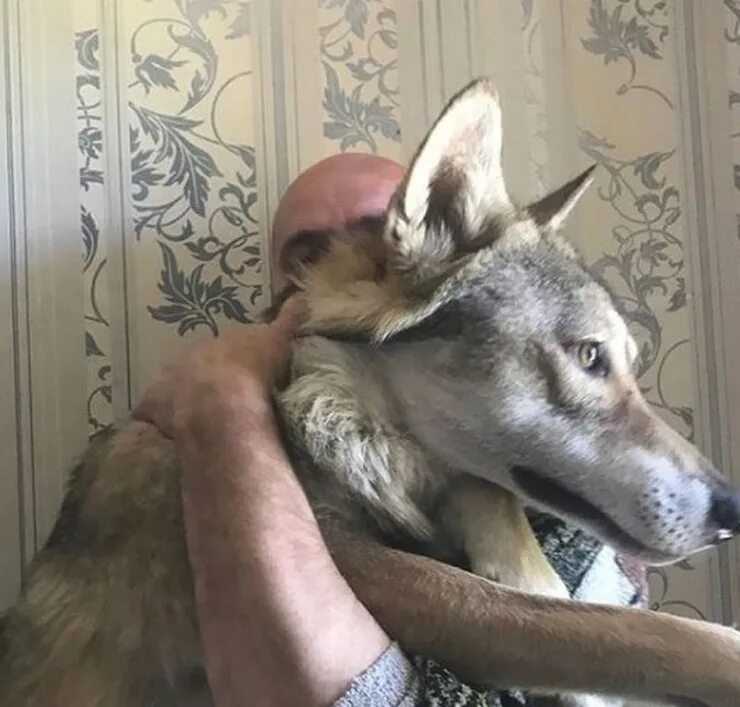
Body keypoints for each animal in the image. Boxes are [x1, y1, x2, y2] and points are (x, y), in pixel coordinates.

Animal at [2, 78, 740, 707]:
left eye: (628, 363)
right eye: (590, 357)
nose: (734, 509)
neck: (336, 409)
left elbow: (528, 556)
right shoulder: (361, 563)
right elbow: (615, 630)